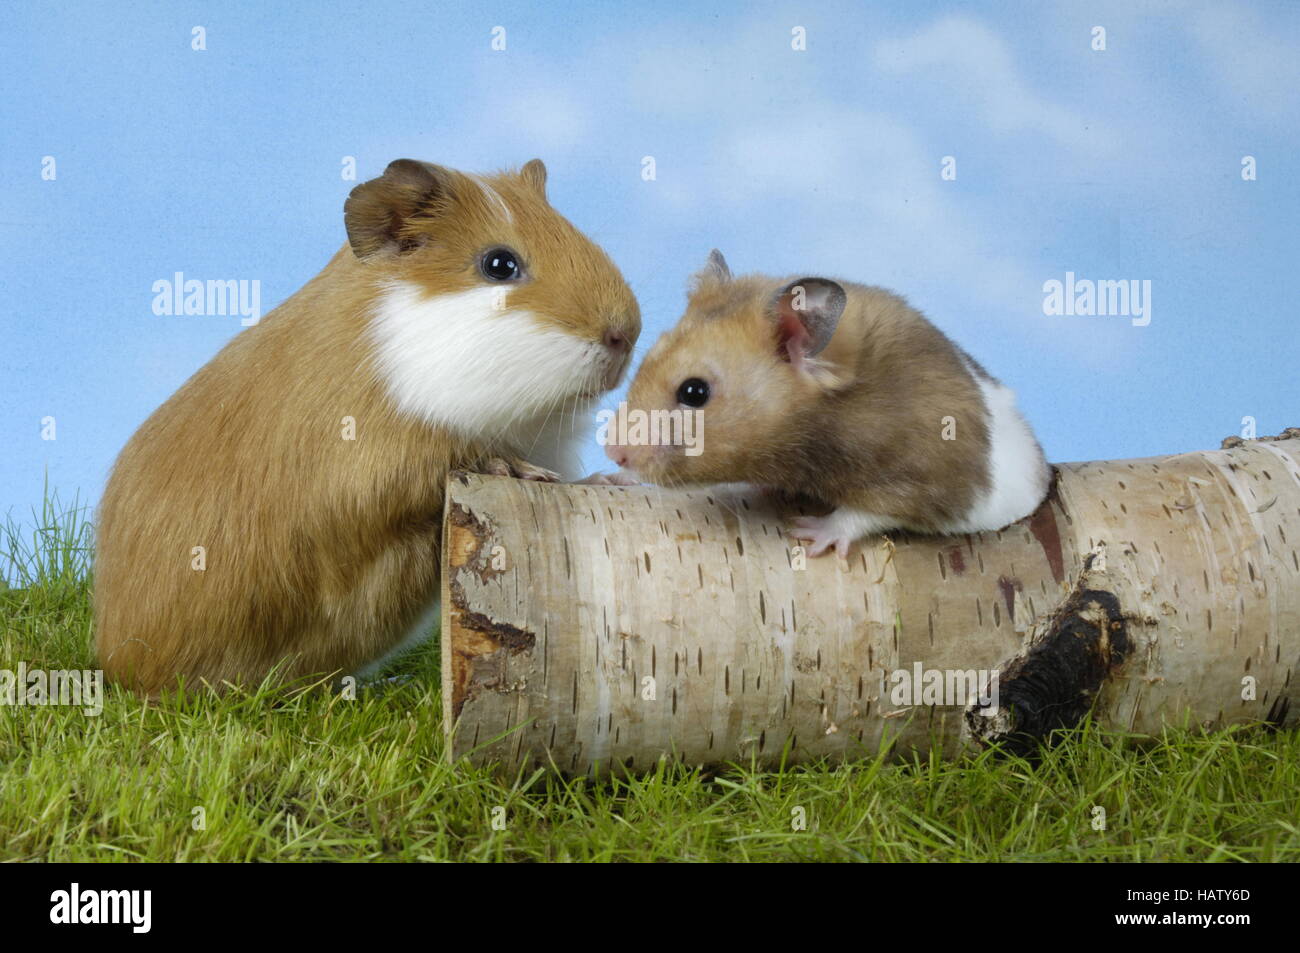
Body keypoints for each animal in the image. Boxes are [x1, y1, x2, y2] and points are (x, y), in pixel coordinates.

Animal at [606, 250, 1050, 558]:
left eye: (694, 393)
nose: (612, 451)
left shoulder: (923, 480)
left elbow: (866, 512)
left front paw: (809, 533)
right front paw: (616, 480)